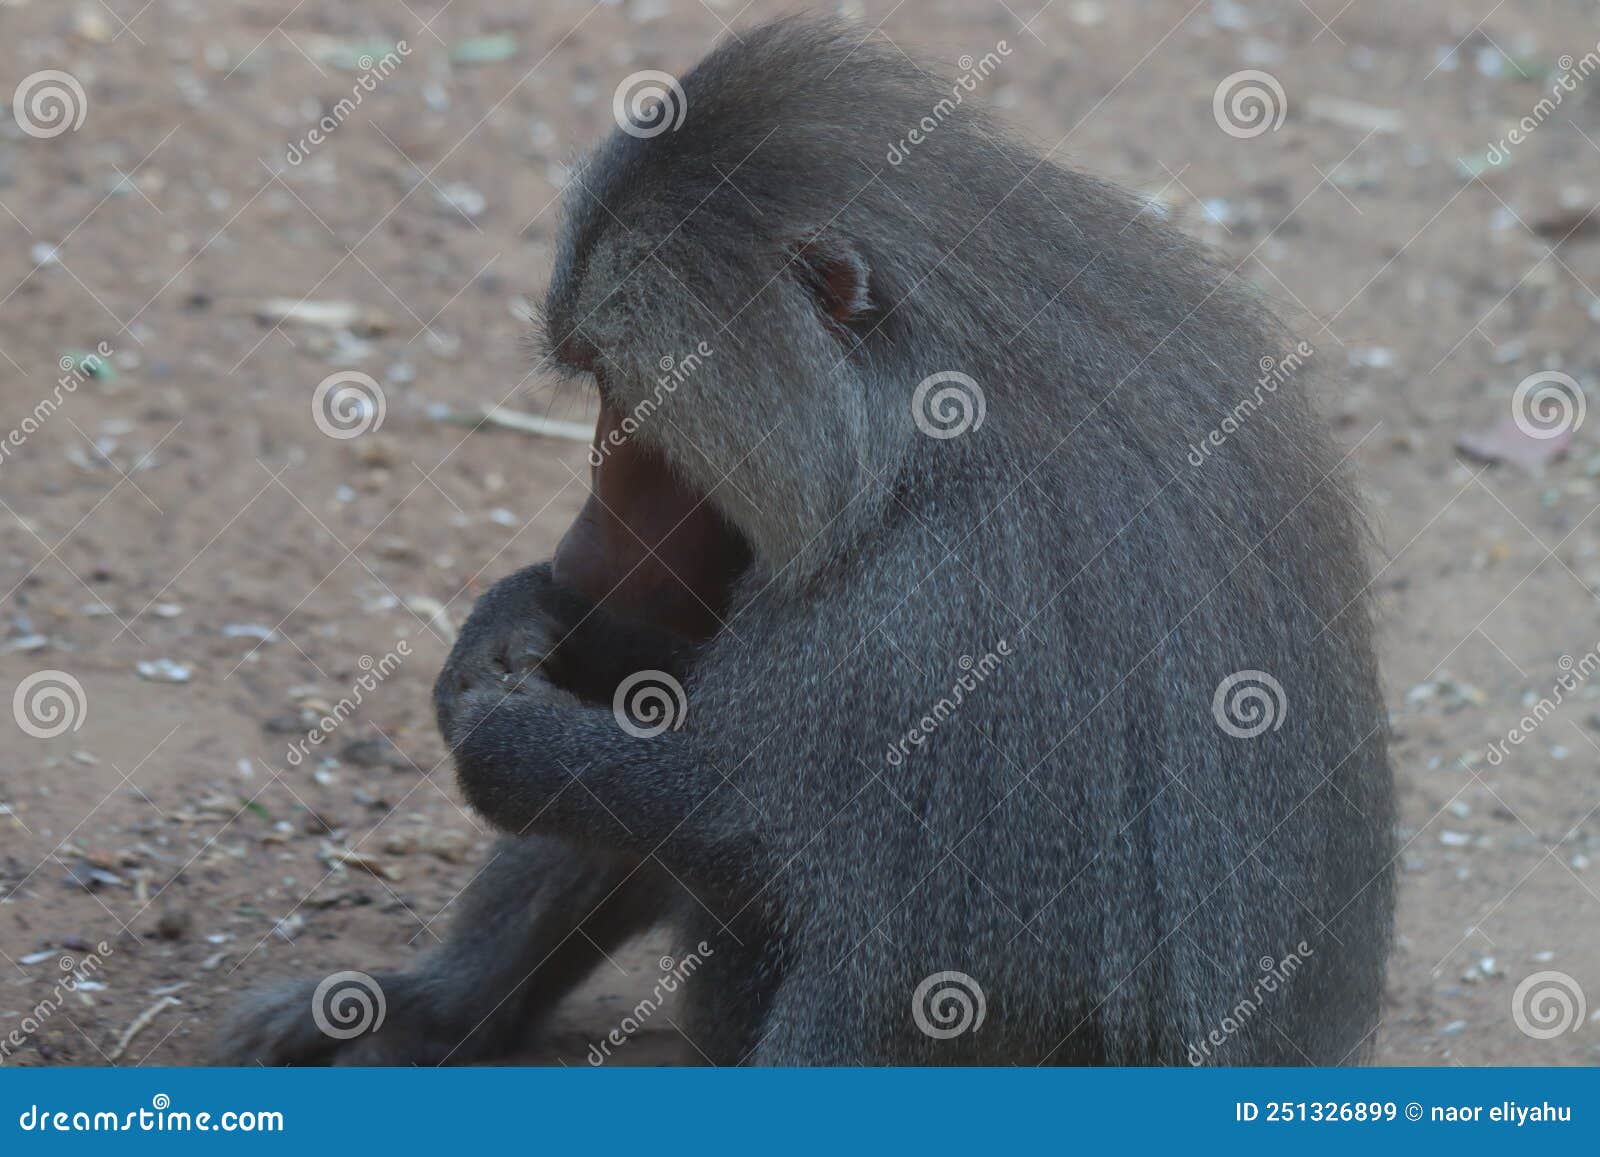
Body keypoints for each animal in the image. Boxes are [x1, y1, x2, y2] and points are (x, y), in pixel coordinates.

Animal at [217, 16, 1393, 1067]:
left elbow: (759, 826)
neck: (923, 435)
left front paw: (498, 728)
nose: (583, 544)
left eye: (617, 386)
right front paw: (519, 619)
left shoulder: (938, 601)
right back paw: (426, 1010)